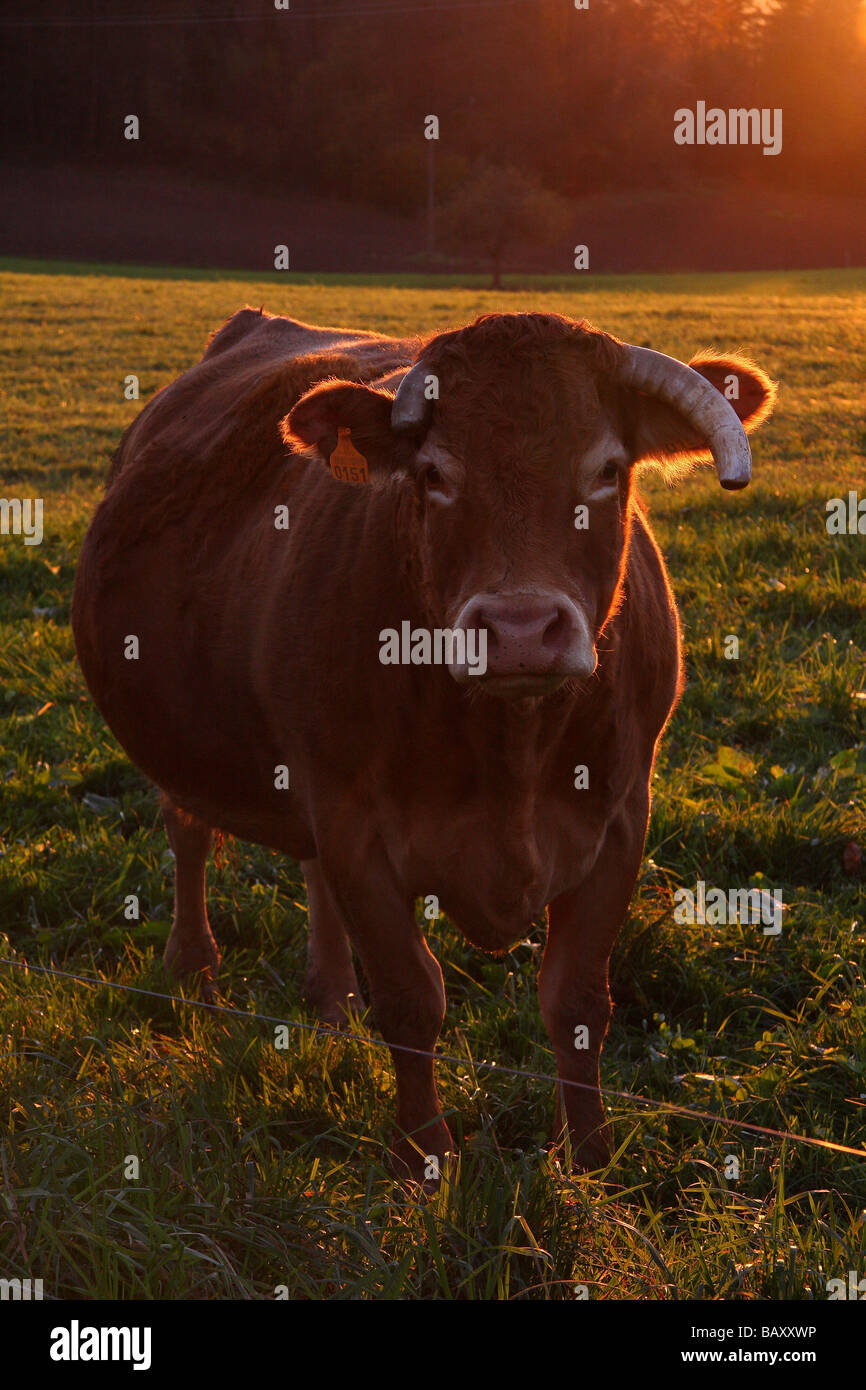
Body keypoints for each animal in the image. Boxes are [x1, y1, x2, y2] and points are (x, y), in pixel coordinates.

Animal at [71, 307, 775, 1181]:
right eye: (435, 474)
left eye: (608, 470)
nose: (519, 631)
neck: (512, 751)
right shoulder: (356, 826)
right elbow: (412, 998)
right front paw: (424, 1155)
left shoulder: (620, 820)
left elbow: (578, 1000)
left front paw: (588, 1156)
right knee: (190, 834)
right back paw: (195, 973)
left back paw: (330, 999)